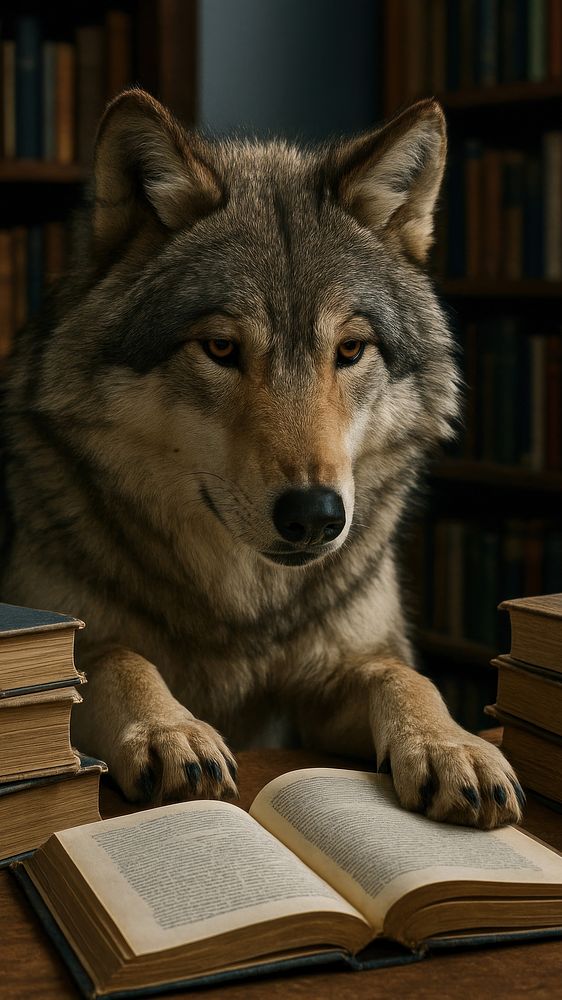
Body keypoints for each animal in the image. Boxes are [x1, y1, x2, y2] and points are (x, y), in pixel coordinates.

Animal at [1, 89, 523, 828]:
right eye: (220, 348)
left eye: (350, 350)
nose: (316, 515)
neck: (244, 611)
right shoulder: (64, 641)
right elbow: (111, 658)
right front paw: (169, 732)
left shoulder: (332, 681)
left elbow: (405, 676)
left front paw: (452, 745)